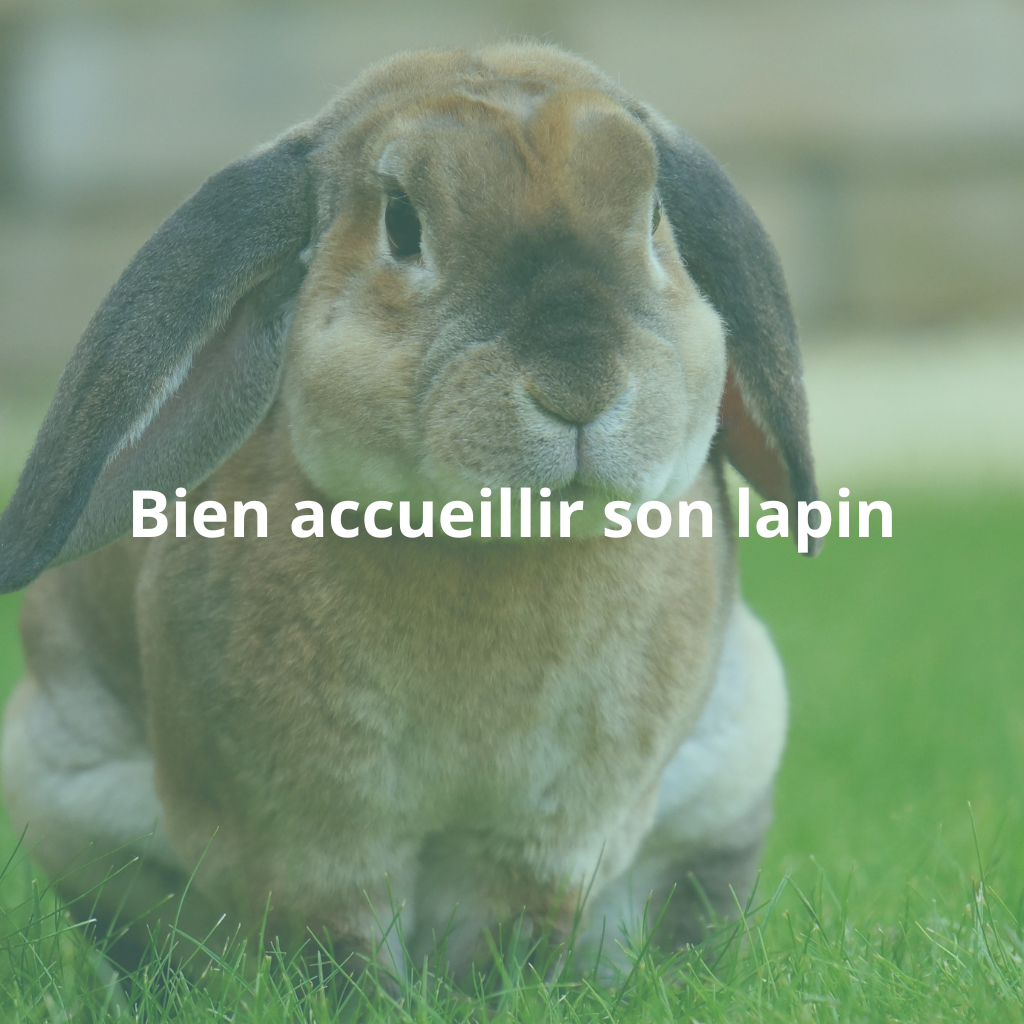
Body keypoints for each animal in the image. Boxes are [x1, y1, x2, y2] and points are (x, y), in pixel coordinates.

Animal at [0, 42, 819, 979]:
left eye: (653, 219)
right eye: (401, 224)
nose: (579, 384)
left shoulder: (546, 840)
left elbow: (509, 937)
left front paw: (502, 993)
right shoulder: (314, 842)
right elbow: (340, 945)